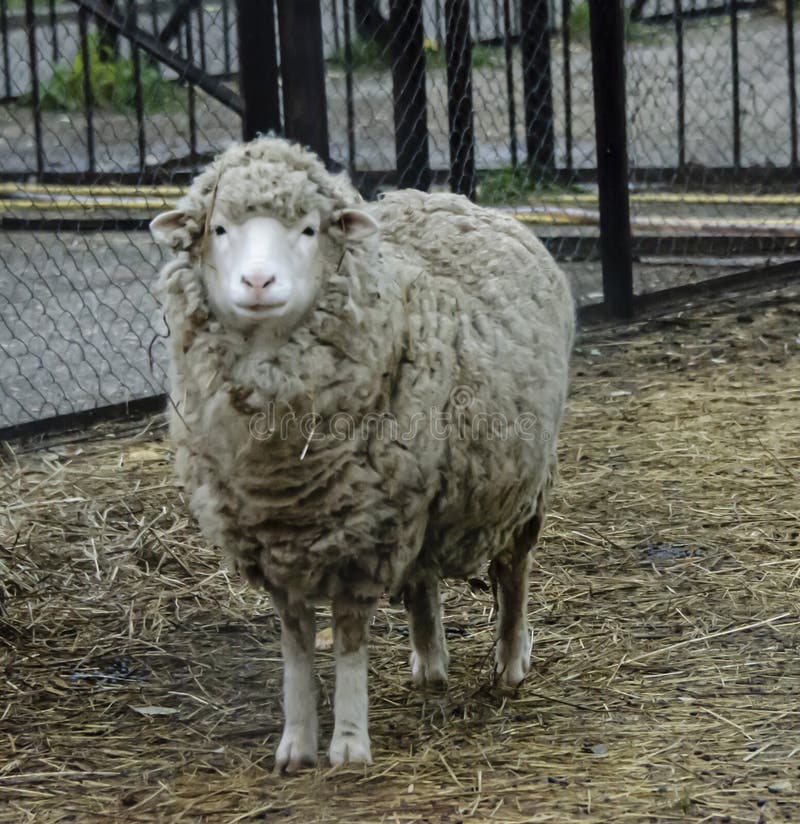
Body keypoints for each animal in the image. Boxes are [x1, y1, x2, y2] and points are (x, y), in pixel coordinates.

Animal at [149, 136, 574, 772]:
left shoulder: (361, 540)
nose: (258, 281)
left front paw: (349, 744)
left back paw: (508, 662)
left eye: (308, 230)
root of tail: (452, 198)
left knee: (513, 572)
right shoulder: (280, 543)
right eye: (219, 228)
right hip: (421, 493)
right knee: (423, 579)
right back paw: (430, 662)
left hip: (520, 484)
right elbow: (297, 645)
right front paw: (296, 744)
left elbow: (349, 641)